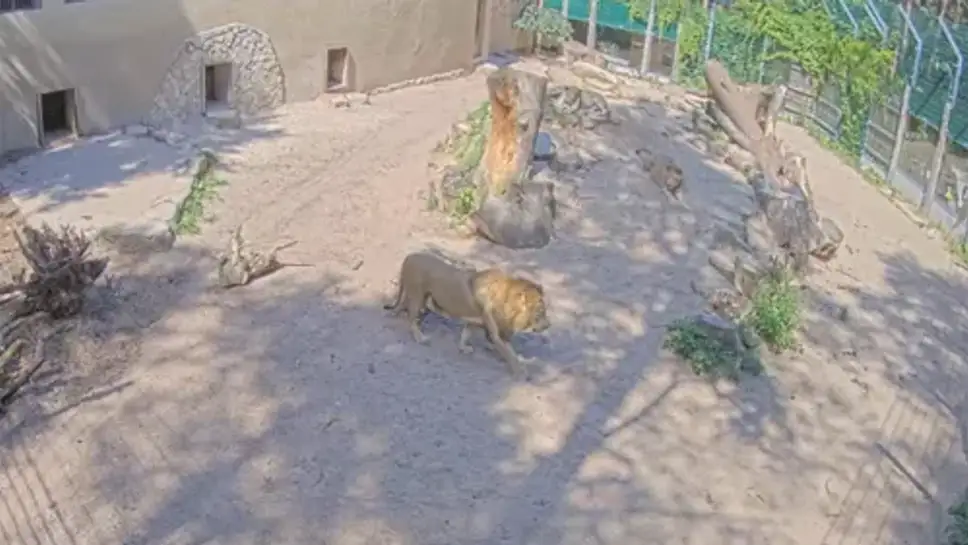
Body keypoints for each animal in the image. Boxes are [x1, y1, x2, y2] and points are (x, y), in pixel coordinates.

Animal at [384, 251, 550, 378]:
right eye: (540, 312)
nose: (549, 325)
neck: (507, 302)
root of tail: (409, 257)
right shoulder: (496, 334)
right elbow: (510, 354)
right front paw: (521, 371)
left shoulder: (475, 321)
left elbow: (466, 333)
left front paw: (463, 348)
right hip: (418, 296)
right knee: (411, 318)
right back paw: (420, 337)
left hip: (421, 297)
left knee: (403, 305)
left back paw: (395, 313)